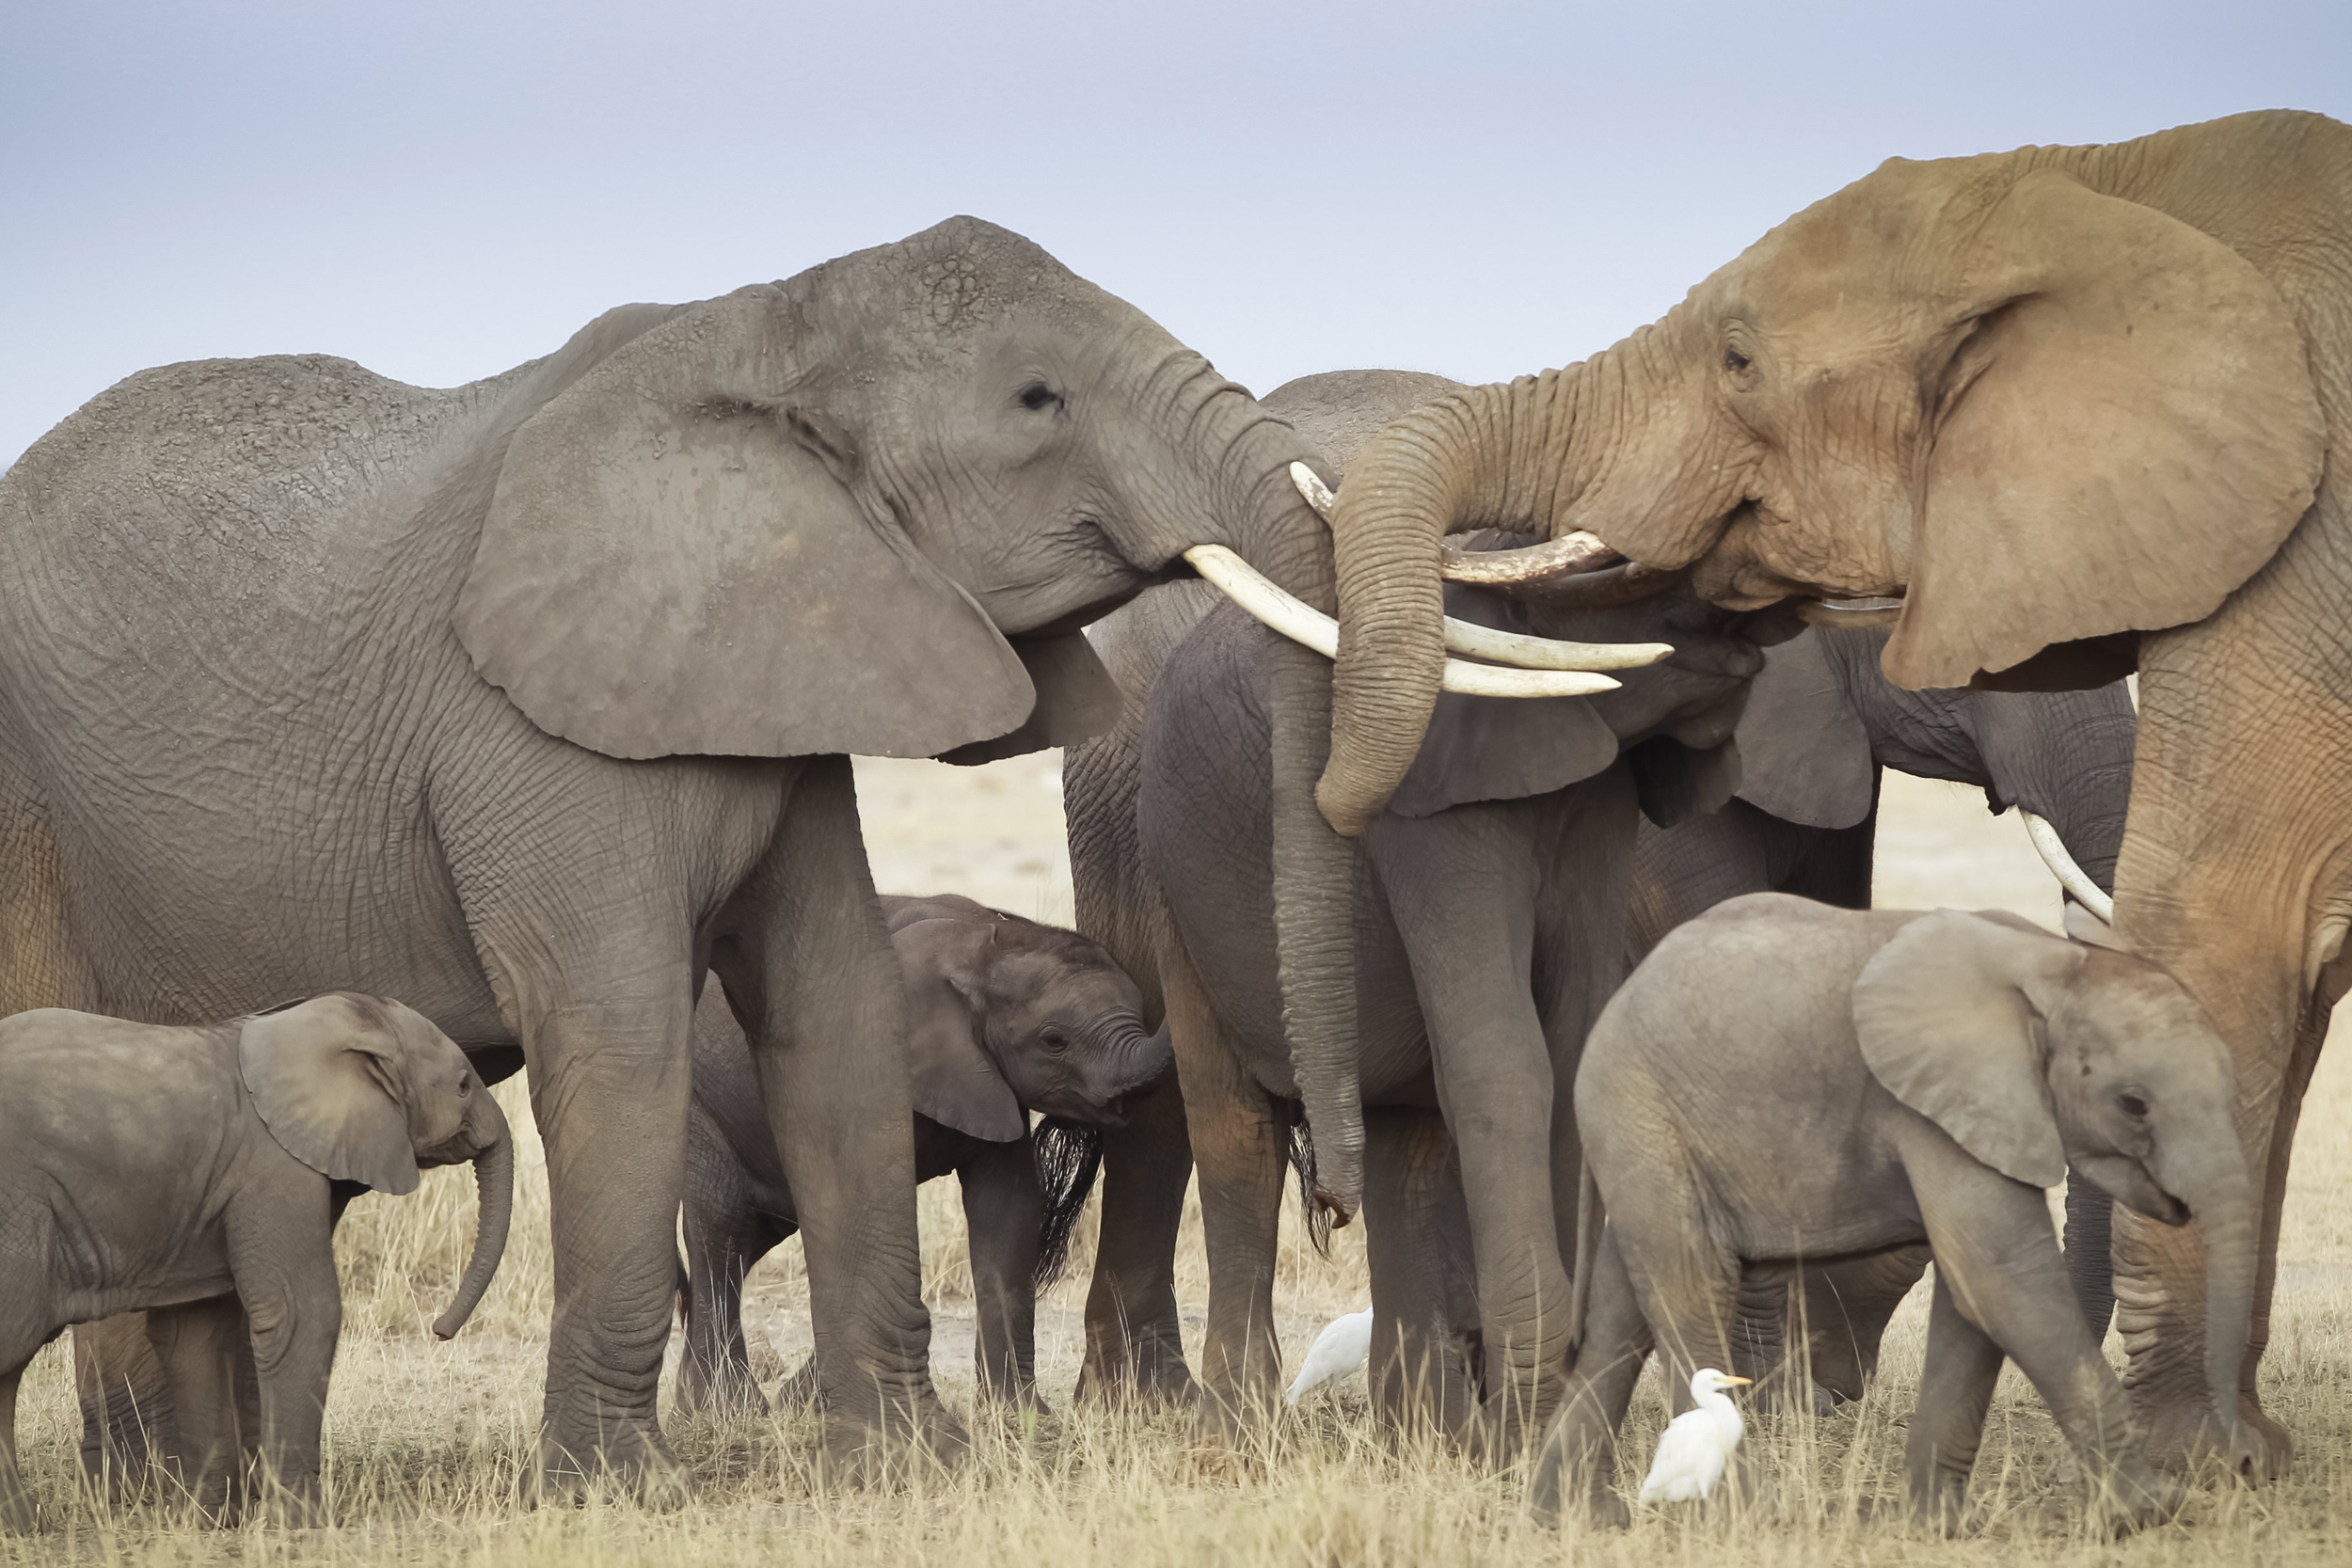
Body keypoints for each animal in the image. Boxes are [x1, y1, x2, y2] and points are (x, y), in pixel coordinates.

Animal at [0, 993, 510, 1524]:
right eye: (463, 1086)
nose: (439, 1330)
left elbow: (193, 1334)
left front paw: (207, 1520)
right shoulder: (274, 1169)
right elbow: (302, 1313)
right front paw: (303, 1524)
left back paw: (23, 1523)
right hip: (20, 1205)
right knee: (15, 1337)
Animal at [676, 894, 1167, 1413]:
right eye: (1055, 1041)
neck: (986, 942)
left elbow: (1008, 1212)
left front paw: (1021, 1416)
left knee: (746, 1241)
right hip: (697, 1108)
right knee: (721, 1230)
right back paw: (727, 1410)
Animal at [1531, 895, 2251, 1533]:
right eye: (2133, 1103)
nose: (2242, 1463)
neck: (2052, 963)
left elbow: (1973, 1293)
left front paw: (1940, 1525)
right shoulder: (1936, 1103)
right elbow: (2001, 1277)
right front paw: (2153, 1512)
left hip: (1650, 1138)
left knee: (1621, 1311)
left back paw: (1578, 1517)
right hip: (1641, 1112)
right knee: (1689, 1283)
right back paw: (1749, 1517)